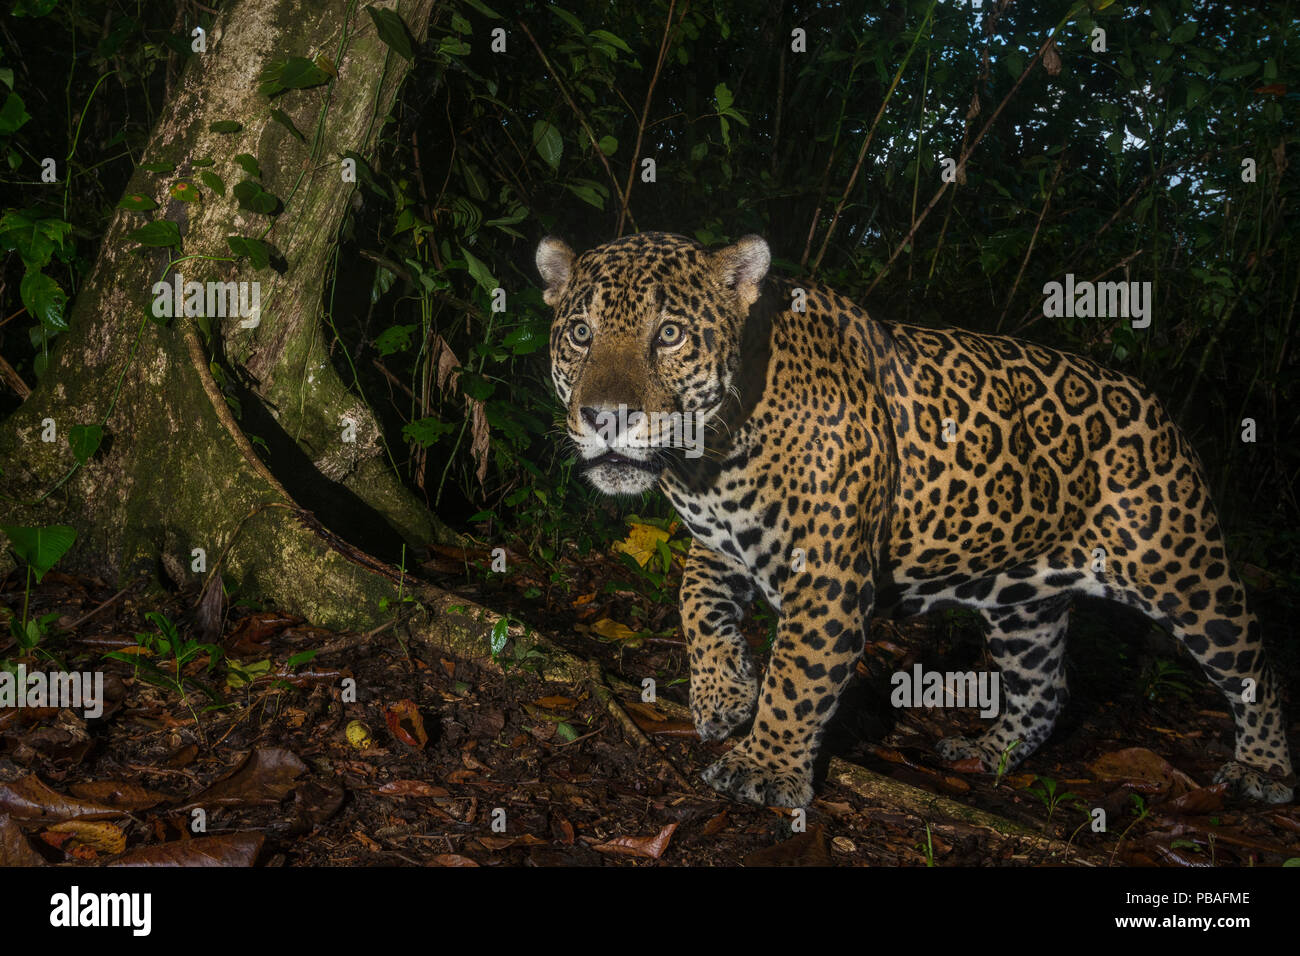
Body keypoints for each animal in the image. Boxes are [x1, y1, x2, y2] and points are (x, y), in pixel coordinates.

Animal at [536, 230, 1294, 808]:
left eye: (669, 335)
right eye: (580, 333)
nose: (605, 417)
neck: (709, 456)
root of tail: (1157, 405)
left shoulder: (829, 579)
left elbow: (798, 677)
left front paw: (764, 766)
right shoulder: (720, 545)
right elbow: (697, 603)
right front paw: (724, 695)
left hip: (1183, 570)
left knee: (1254, 662)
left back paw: (1265, 770)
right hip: (1022, 605)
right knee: (1045, 689)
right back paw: (986, 754)